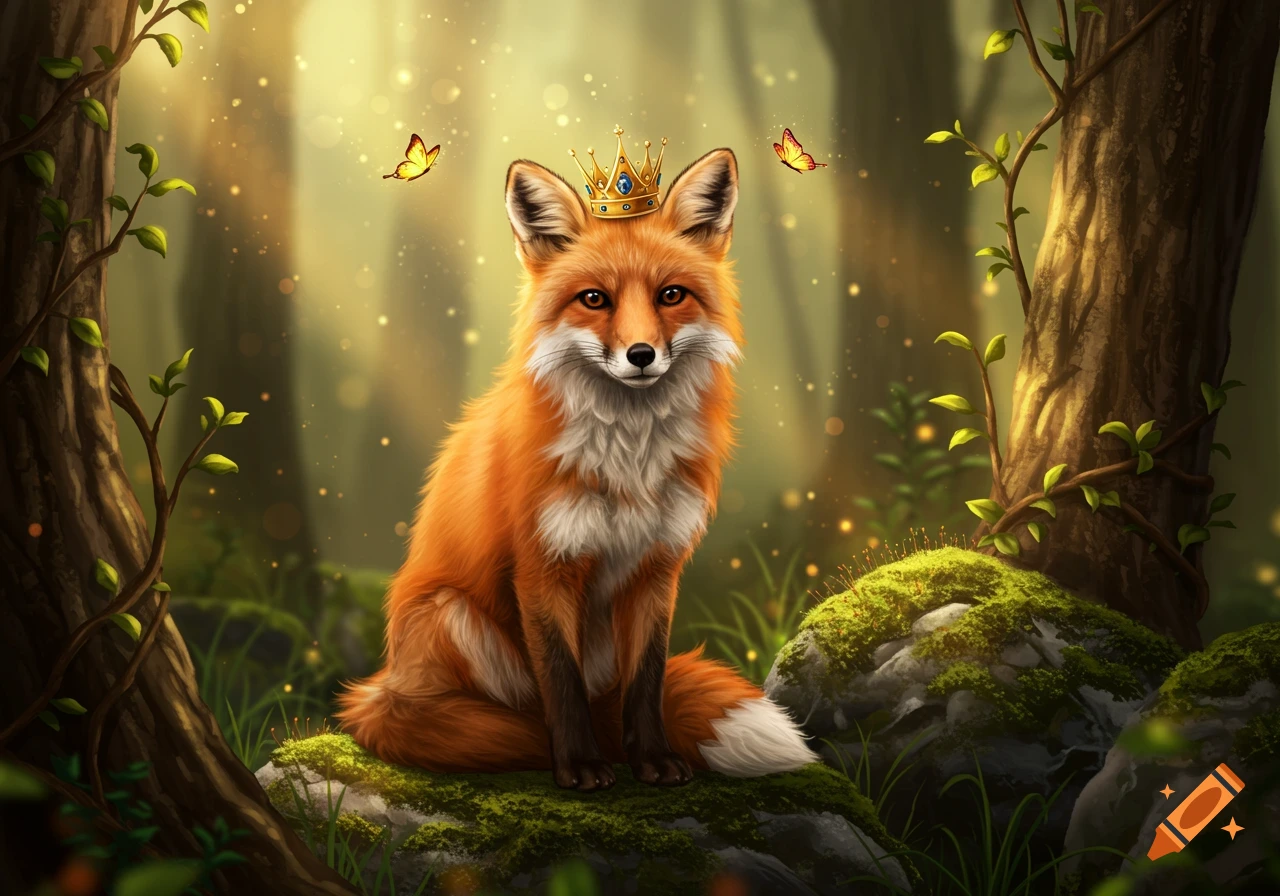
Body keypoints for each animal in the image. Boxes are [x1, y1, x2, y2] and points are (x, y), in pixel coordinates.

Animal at [336, 145, 817, 791]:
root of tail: (383, 688)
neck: (629, 460)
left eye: (671, 295)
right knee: (499, 712)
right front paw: (581, 766)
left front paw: (652, 759)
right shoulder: (543, 566)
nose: (641, 355)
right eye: (594, 299)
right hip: (452, 616)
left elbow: (647, 680)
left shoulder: (657, 569)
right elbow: (560, 681)